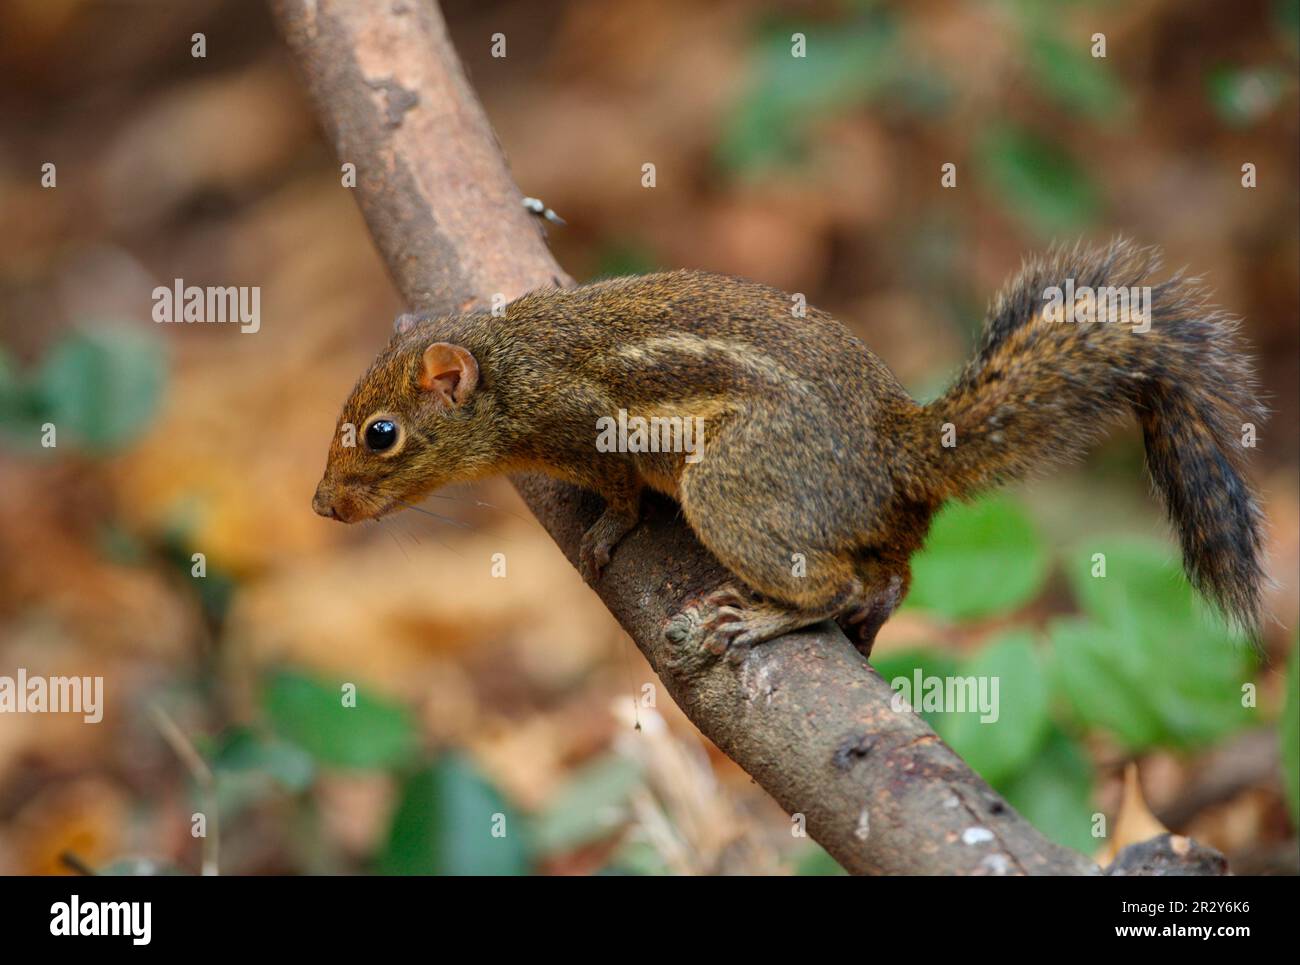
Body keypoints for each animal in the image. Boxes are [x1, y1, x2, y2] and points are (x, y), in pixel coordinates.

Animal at [313, 238, 1267, 656]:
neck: (512, 368)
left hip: (733, 490)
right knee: (894, 573)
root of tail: (900, 450)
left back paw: (768, 616)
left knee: (837, 577)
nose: (322, 503)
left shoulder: (589, 422)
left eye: (382, 434)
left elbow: (619, 492)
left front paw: (607, 531)